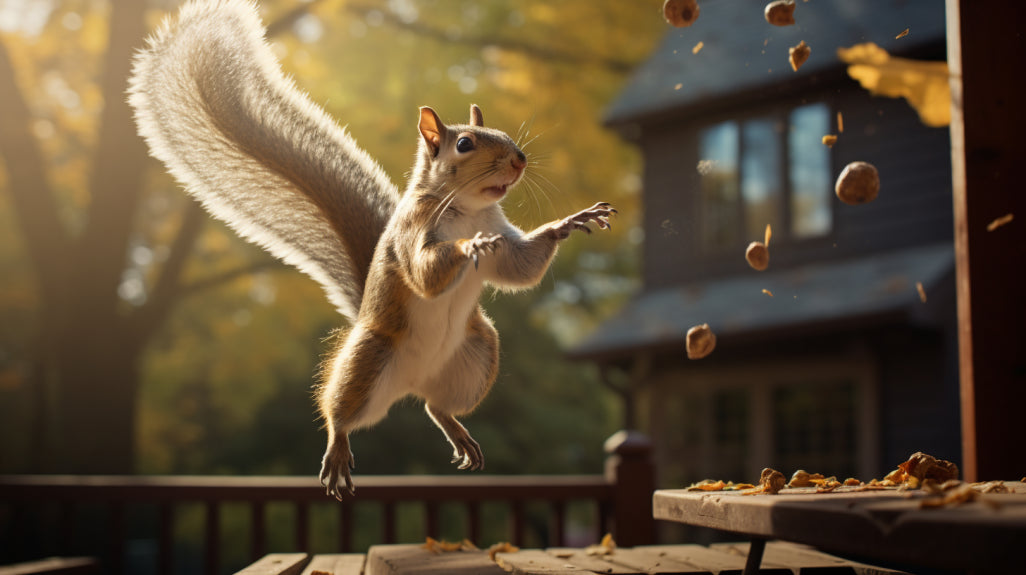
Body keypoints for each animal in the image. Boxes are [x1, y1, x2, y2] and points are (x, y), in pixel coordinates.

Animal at [128, 0, 616, 499]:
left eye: (502, 133)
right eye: (464, 144)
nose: (519, 160)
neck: (470, 210)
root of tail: (411, 383)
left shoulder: (505, 237)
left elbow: (521, 267)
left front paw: (568, 222)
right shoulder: (412, 232)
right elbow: (425, 273)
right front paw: (470, 244)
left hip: (478, 354)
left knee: (436, 407)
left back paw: (454, 428)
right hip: (369, 359)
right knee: (341, 412)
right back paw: (338, 450)